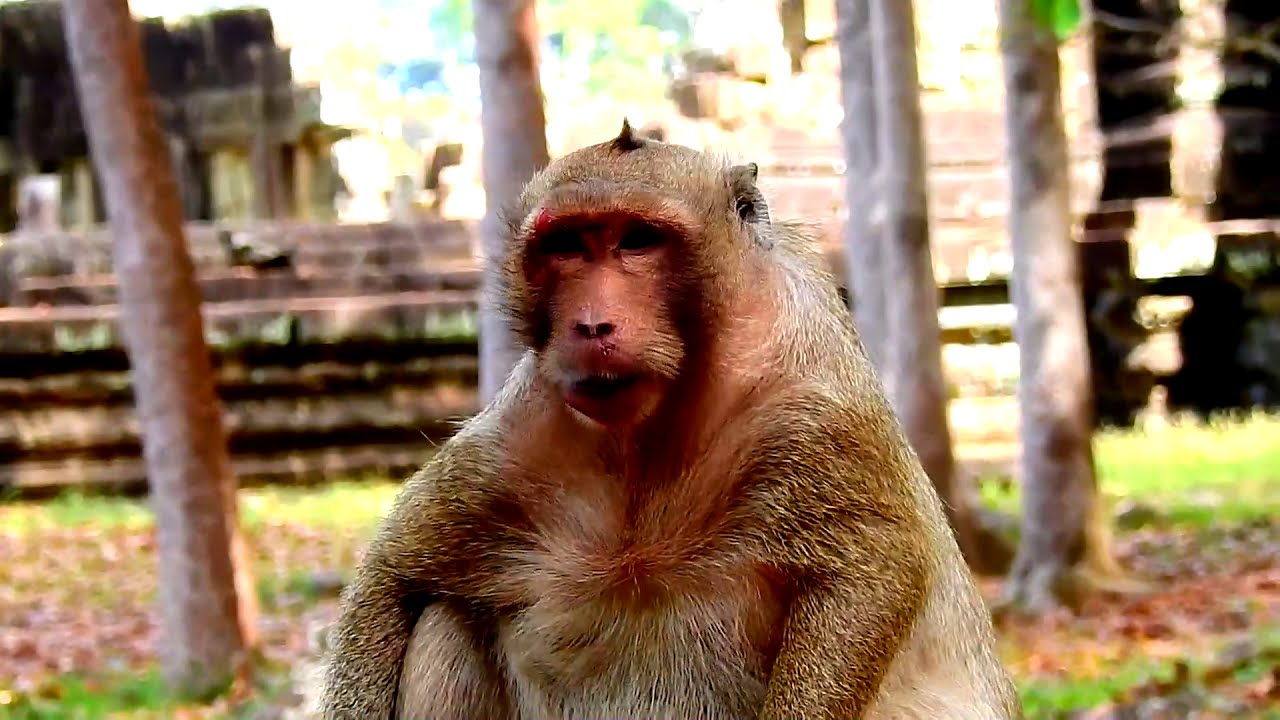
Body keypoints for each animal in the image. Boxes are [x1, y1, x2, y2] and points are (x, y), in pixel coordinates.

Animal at [320, 120, 1023, 720]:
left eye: (637, 240)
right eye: (565, 246)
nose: (592, 324)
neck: (647, 445)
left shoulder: (812, 417)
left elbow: (867, 586)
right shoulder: (518, 439)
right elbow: (392, 577)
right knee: (444, 624)